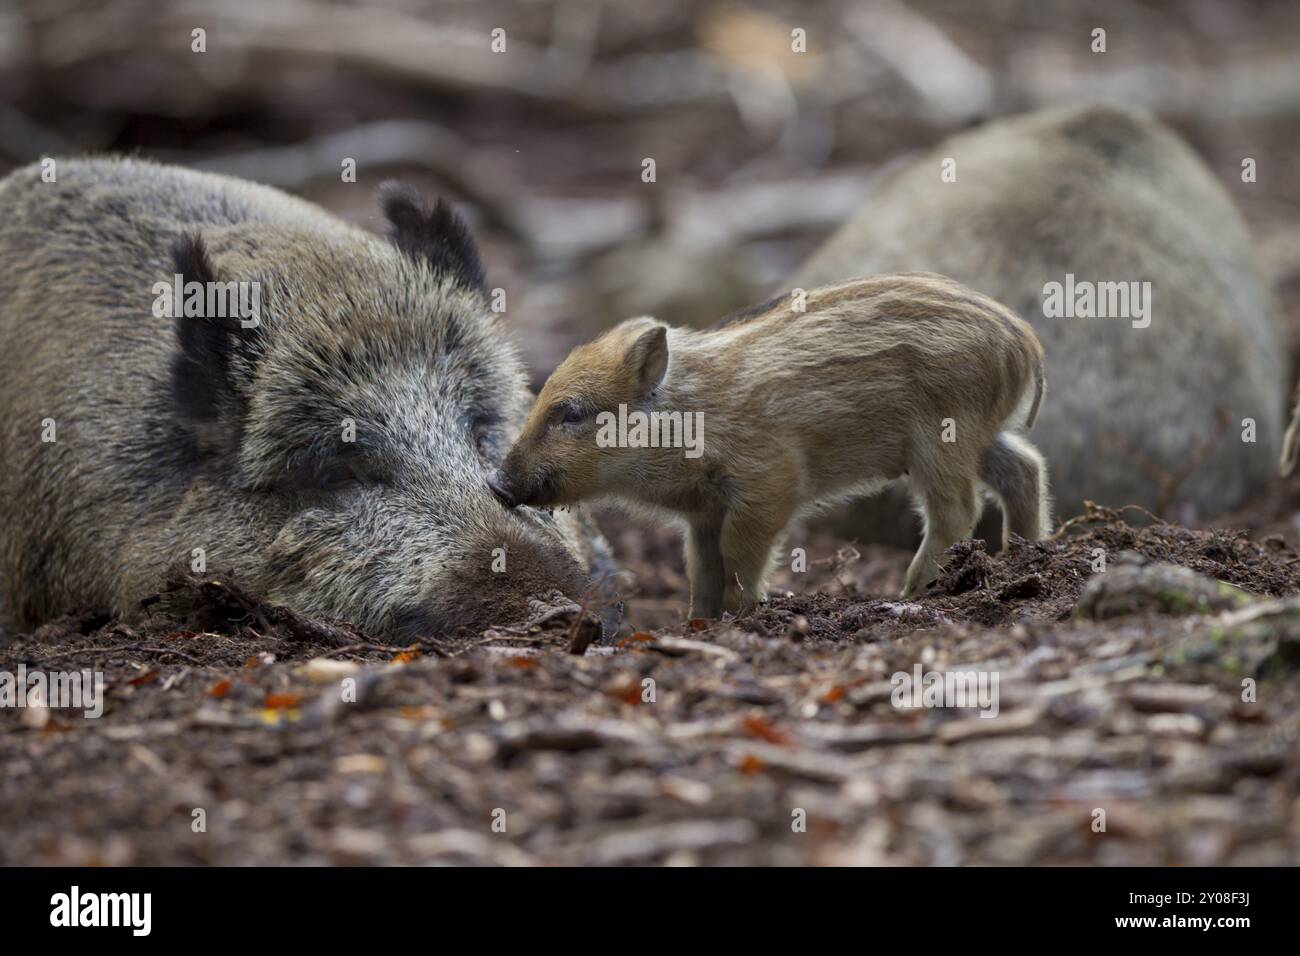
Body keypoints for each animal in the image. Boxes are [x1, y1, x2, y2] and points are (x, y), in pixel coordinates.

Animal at [489, 273, 1050, 615]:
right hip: (980, 433)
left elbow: (738, 554)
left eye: (572, 413)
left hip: (942, 437)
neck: (691, 417)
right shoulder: (703, 512)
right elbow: (701, 565)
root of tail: (1024, 339)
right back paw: (1024, 555)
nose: (495, 482)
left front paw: (744, 615)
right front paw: (697, 624)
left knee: (958, 508)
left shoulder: (768, 482)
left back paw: (913, 591)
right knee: (1024, 469)